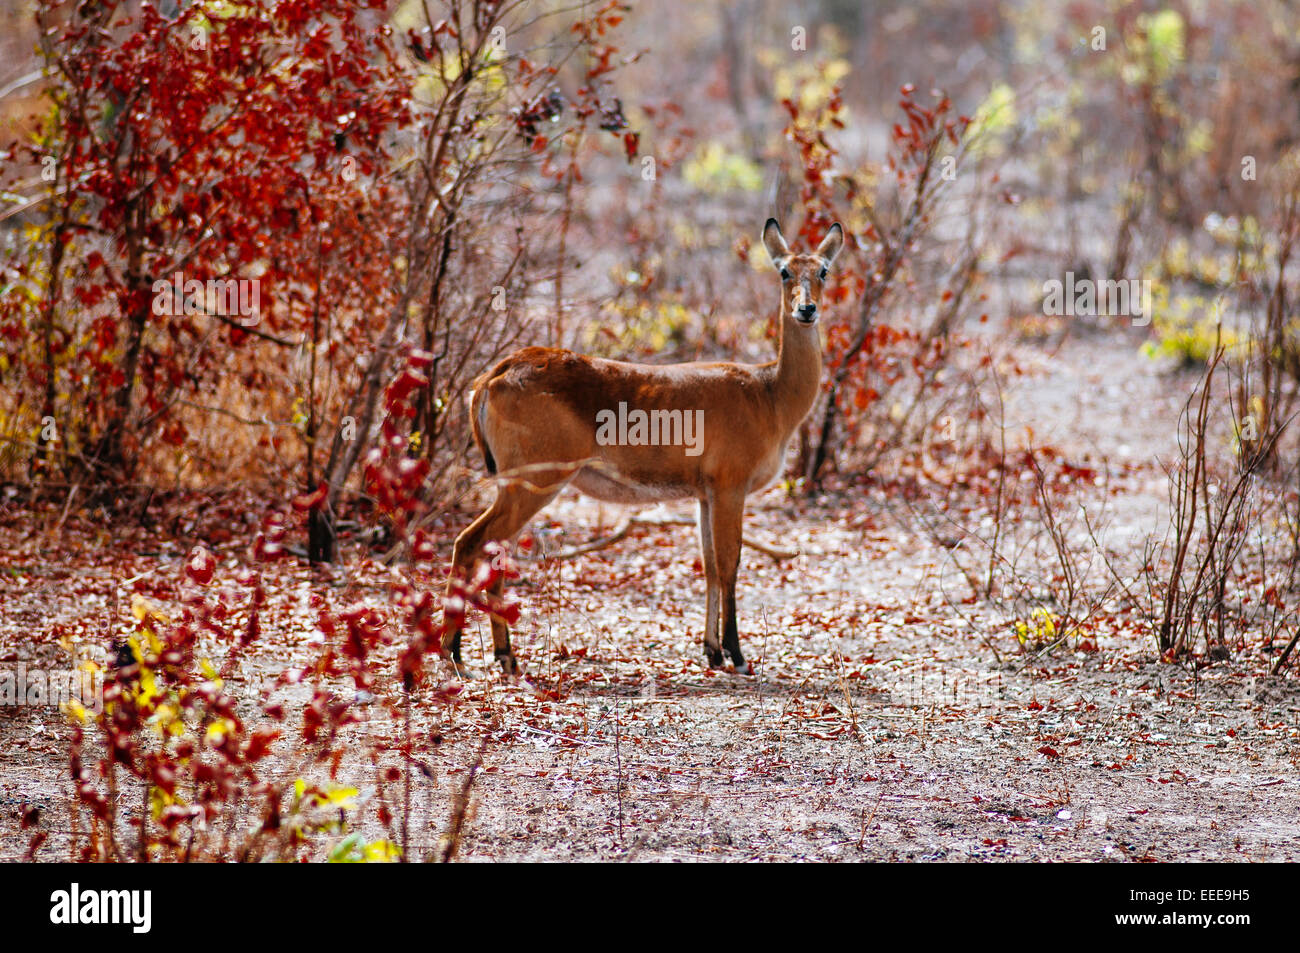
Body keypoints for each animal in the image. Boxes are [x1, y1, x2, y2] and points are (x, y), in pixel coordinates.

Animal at [442, 218, 844, 677]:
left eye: (823, 271)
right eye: (784, 271)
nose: (806, 310)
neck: (769, 394)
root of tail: (493, 374)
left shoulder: (705, 495)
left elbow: (709, 566)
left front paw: (711, 650)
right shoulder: (730, 487)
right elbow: (730, 564)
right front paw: (737, 655)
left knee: (489, 550)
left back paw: (503, 657)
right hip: (535, 484)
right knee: (470, 542)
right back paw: (455, 653)